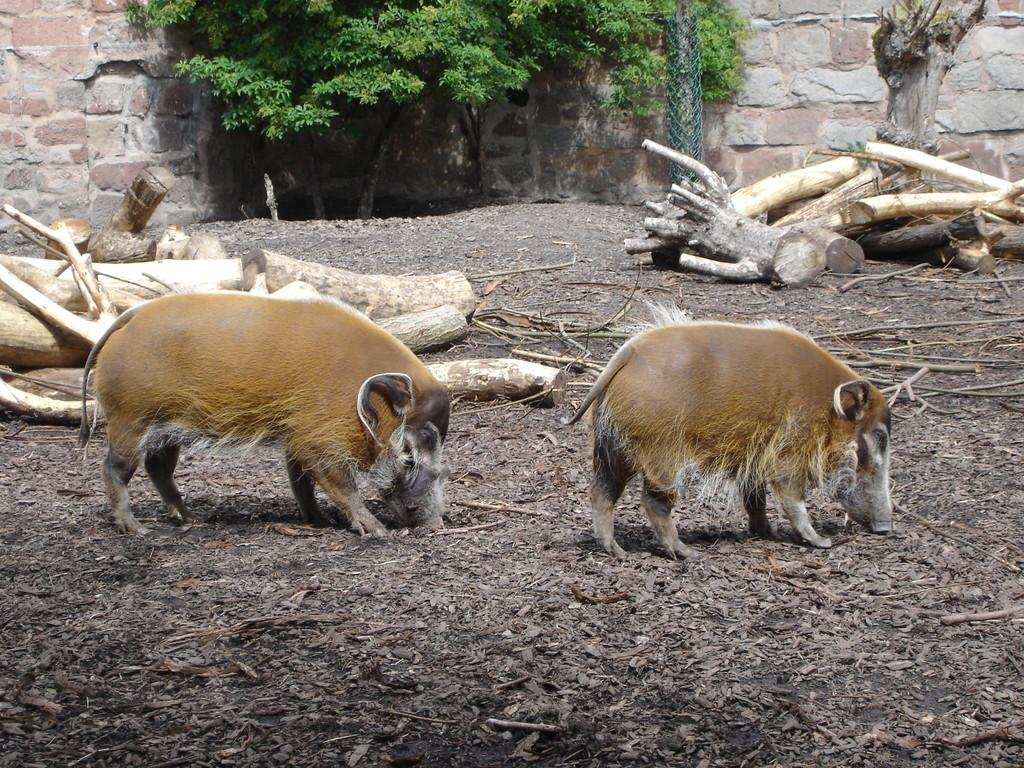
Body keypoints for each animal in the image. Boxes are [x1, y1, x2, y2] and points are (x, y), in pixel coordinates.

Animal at [79, 293, 451, 535]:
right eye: (408, 456)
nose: (435, 524)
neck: (351, 394)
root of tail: (127, 321)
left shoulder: (296, 435)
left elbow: (300, 480)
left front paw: (320, 520)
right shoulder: (318, 437)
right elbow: (337, 481)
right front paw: (376, 531)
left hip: (167, 428)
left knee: (158, 468)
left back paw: (191, 518)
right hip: (129, 418)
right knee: (113, 467)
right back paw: (135, 529)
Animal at [564, 307, 893, 558]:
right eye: (878, 436)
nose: (886, 528)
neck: (826, 407)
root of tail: (628, 353)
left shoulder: (754, 459)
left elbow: (755, 498)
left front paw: (768, 533)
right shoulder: (790, 450)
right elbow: (791, 495)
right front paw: (821, 541)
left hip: (612, 448)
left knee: (601, 492)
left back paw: (616, 550)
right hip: (660, 451)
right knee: (653, 501)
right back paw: (686, 552)